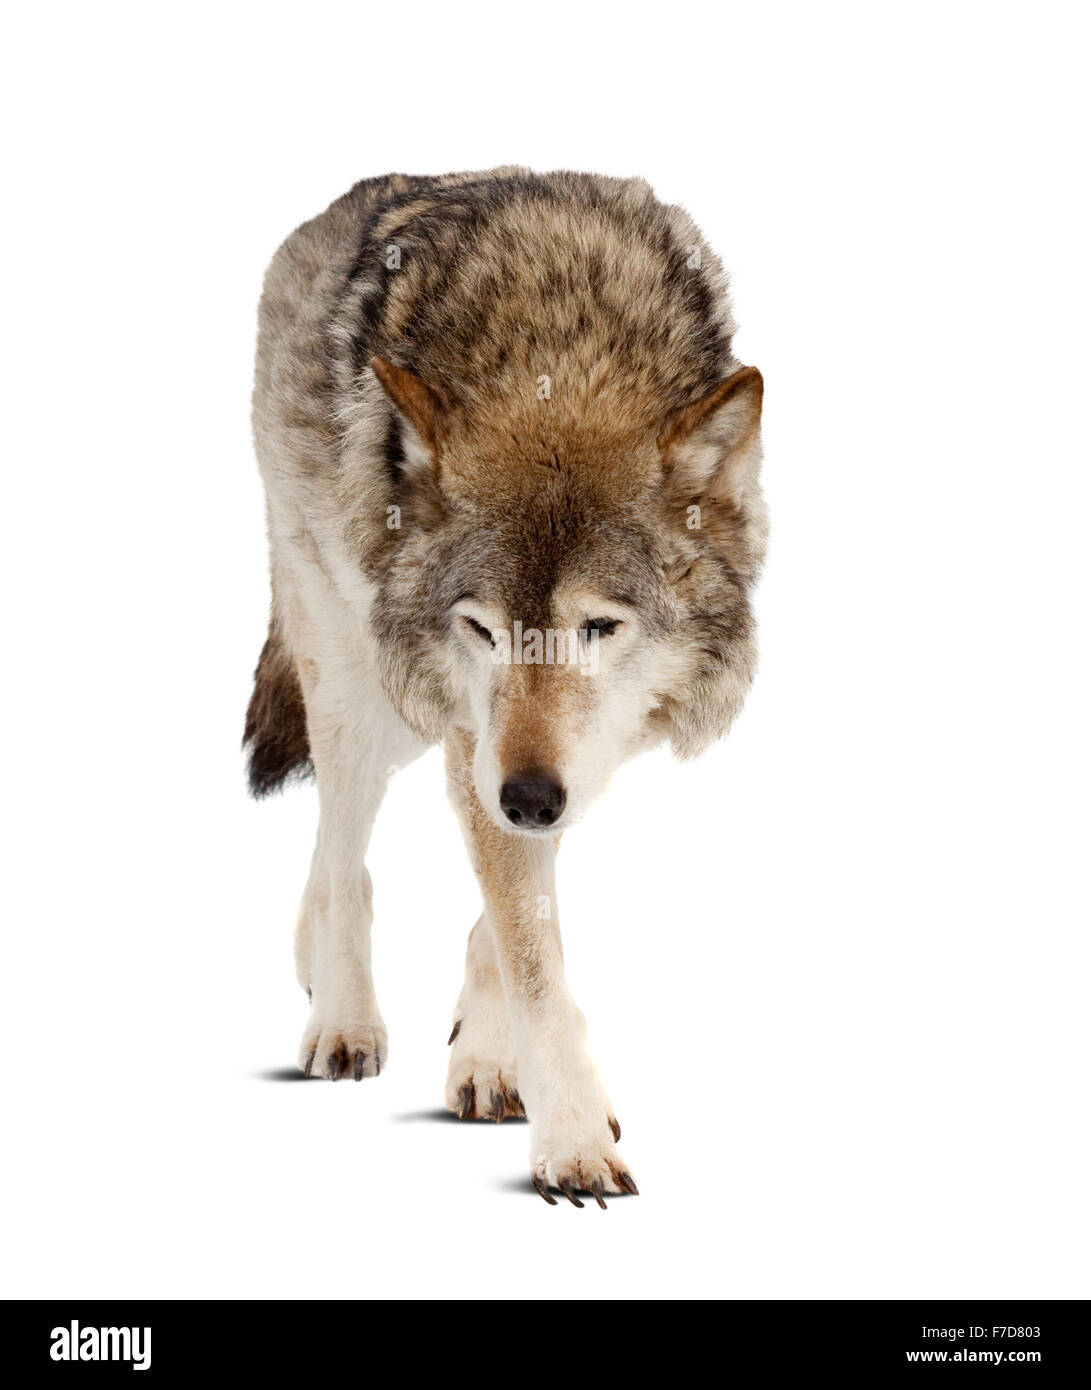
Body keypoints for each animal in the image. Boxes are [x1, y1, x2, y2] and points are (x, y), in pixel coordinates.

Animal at [245, 168, 766, 1206]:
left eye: (599, 628)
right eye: (482, 629)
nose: (526, 798)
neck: (560, 349)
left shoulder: (562, 752)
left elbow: (518, 928)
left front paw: (490, 1062)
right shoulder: (477, 737)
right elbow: (531, 950)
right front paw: (573, 1140)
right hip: (357, 685)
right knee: (341, 850)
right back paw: (340, 1015)